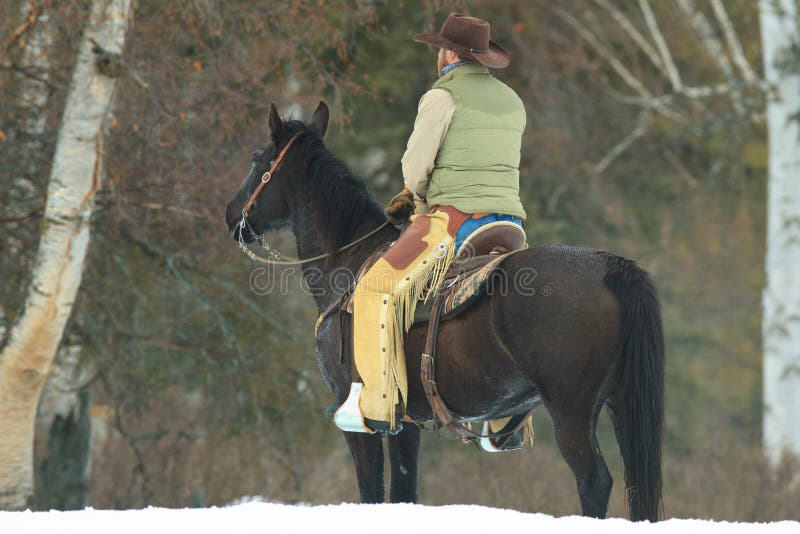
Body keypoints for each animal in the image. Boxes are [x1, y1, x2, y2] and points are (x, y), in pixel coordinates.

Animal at [225, 101, 664, 521]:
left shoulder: (359, 421)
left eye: (258, 159)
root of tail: (610, 265)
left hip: (572, 412)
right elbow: (403, 491)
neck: (348, 260)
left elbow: (371, 492)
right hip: (620, 405)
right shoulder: (406, 425)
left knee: (594, 481)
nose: (231, 214)